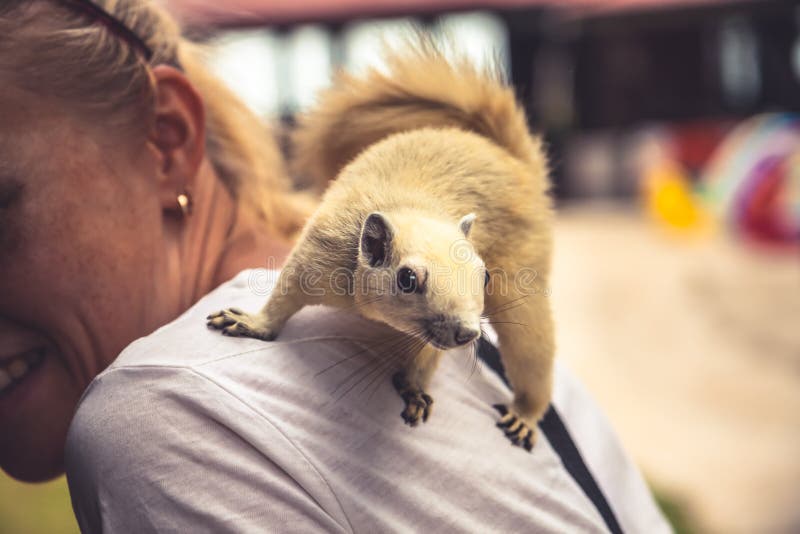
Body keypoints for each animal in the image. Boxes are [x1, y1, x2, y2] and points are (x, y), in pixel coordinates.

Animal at [207, 37, 554, 451]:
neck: (412, 209)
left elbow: (427, 354)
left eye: (483, 276)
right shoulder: (318, 255)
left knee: (531, 350)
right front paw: (253, 323)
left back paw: (524, 414)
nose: (468, 333)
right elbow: (283, 295)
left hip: (523, 281)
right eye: (407, 279)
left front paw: (415, 388)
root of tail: (509, 158)